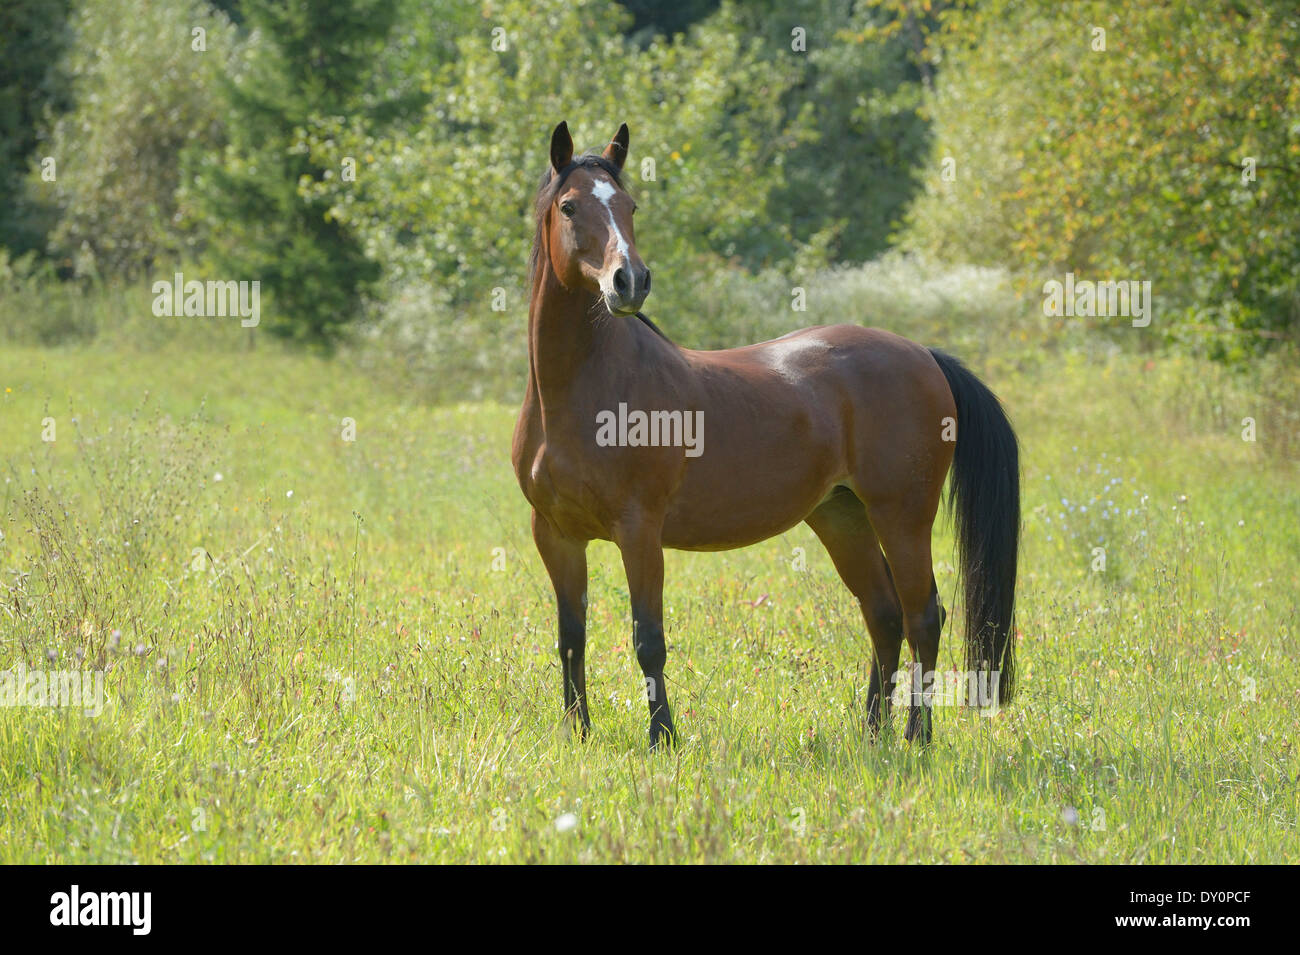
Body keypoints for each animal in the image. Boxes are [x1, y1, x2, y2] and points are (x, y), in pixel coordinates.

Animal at [512, 121, 1020, 750]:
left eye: (630, 207)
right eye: (569, 206)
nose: (629, 282)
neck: (580, 391)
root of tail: (924, 355)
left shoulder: (639, 531)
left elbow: (647, 639)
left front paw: (662, 739)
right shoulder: (556, 535)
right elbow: (571, 638)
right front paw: (577, 734)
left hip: (902, 516)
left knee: (924, 614)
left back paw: (916, 736)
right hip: (841, 516)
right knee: (883, 614)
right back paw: (871, 733)